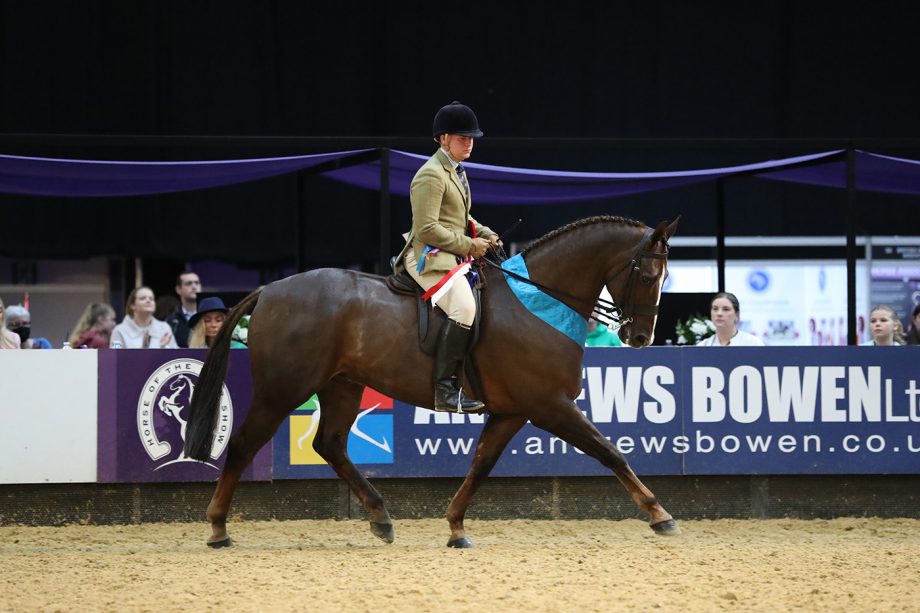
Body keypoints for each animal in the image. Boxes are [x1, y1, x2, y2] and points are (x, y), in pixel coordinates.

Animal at [184, 215, 681, 548]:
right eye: (647, 274)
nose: (640, 338)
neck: (539, 300)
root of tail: (269, 290)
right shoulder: (550, 404)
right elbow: (609, 452)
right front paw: (660, 514)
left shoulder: (513, 410)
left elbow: (481, 463)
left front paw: (457, 526)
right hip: (282, 389)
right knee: (244, 444)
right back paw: (218, 528)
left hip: (342, 384)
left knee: (330, 444)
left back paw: (381, 518)